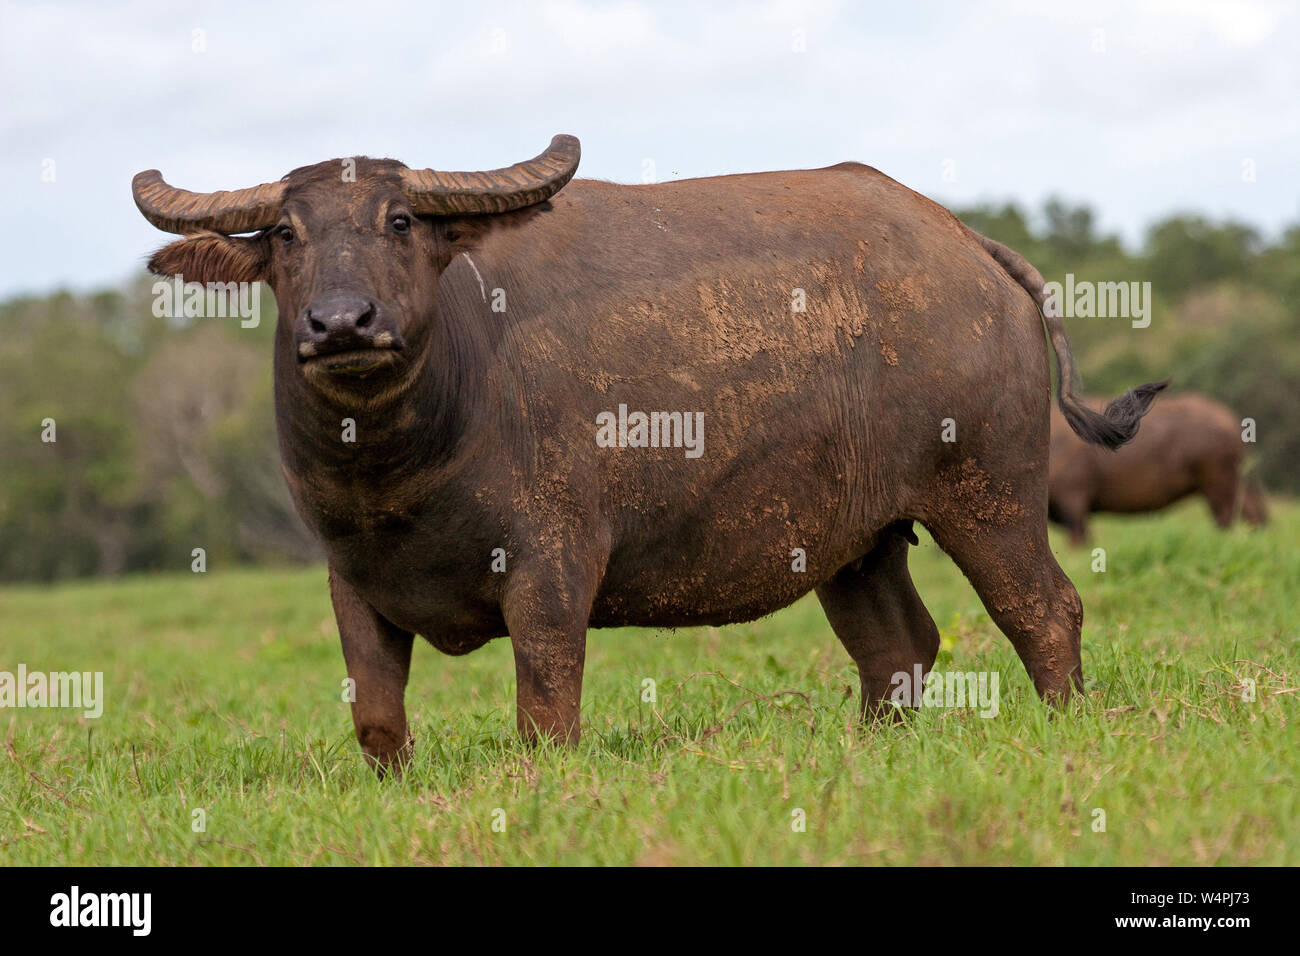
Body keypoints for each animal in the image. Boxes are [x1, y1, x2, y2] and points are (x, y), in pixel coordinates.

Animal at [133, 135, 1165, 773]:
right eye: (285, 233)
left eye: (399, 222)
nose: (343, 323)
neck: (402, 461)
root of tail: (964, 242)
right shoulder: (353, 581)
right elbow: (379, 722)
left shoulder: (553, 570)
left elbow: (546, 711)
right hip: (855, 542)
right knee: (898, 646)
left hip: (988, 493)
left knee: (1044, 612)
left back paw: (1068, 723)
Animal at [1049, 391, 1266, 545]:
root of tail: (1232, 421)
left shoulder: (1074, 495)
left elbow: (1081, 539)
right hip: (1232, 479)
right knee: (1254, 511)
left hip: (1218, 480)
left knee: (1228, 517)